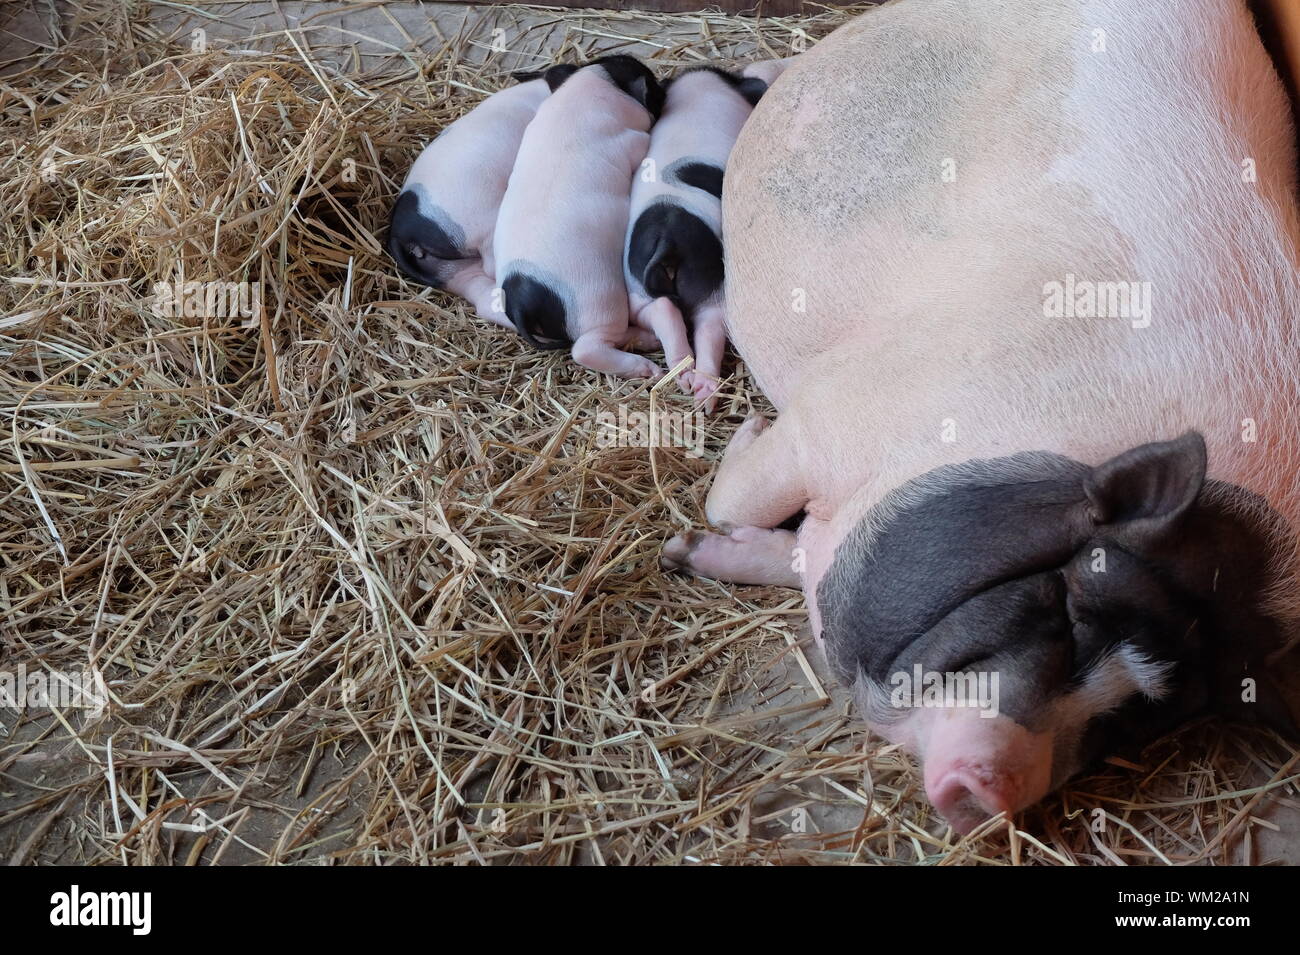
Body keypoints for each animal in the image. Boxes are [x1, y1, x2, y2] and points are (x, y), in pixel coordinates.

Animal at [493, 56, 667, 378]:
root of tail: (523, 298)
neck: (581, 95)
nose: (664, 84)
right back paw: (650, 368)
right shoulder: (632, 140)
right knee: (587, 348)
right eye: (652, 87)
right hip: (598, 303)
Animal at [624, 67, 768, 411]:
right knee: (709, 325)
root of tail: (667, 240)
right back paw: (705, 392)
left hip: (636, 286)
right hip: (711, 283)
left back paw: (686, 378)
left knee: (660, 312)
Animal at [663, 0, 1300, 834]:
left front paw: (690, 552)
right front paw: (698, 512)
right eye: (1065, 606)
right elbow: (734, 497)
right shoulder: (833, 409)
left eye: (1138, 717)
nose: (993, 789)